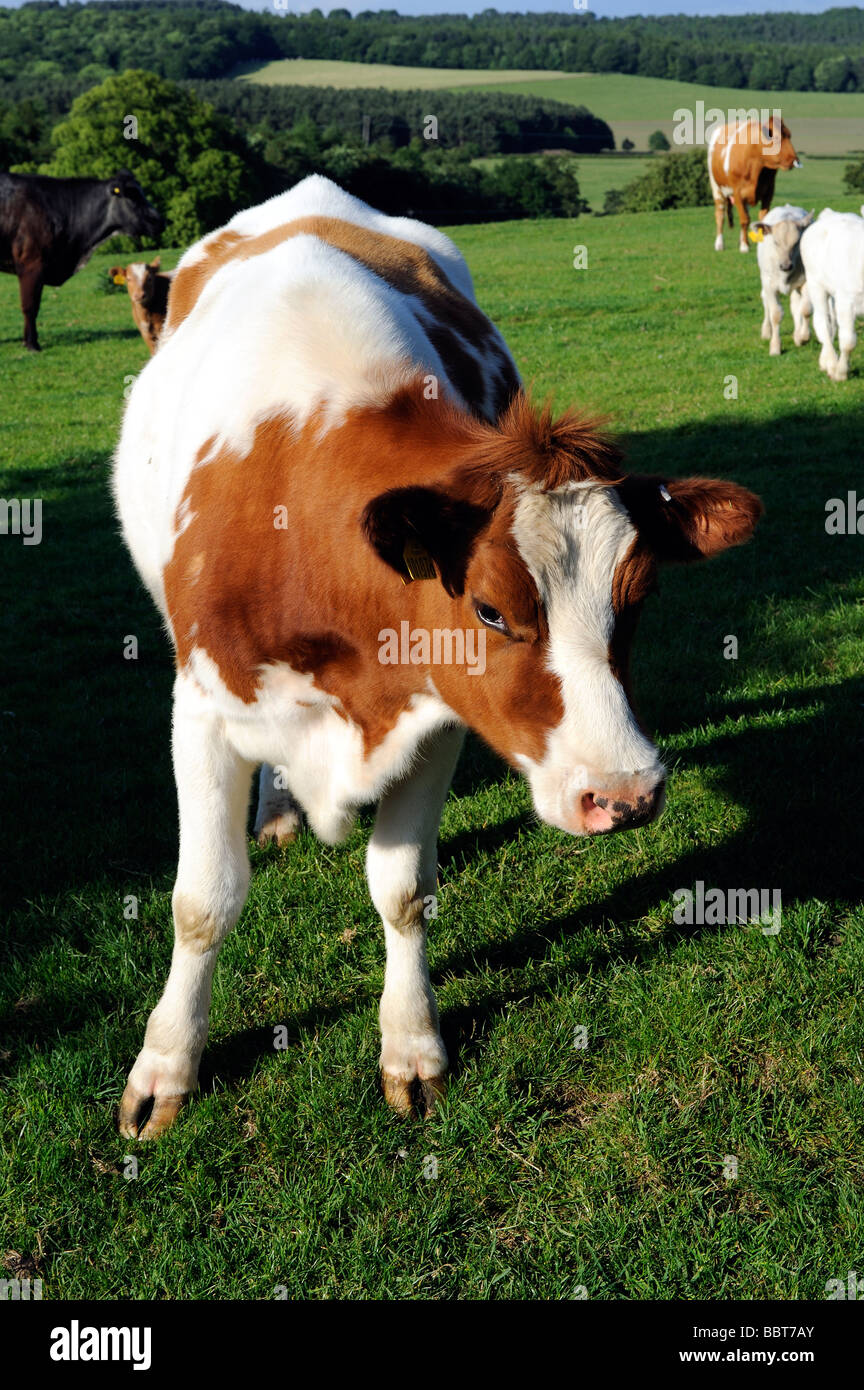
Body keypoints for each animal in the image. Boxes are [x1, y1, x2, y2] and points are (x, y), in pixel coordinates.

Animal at [112, 175, 761, 1138]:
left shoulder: (440, 713)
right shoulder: (199, 709)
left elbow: (404, 888)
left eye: (638, 598)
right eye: (489, 609)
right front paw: (166, 1065)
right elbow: (202, 903)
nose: (628, 794)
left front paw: (411, 1044)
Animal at [708, 116, 801, 253]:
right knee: (720, 215)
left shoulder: (769, 192)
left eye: (790, 136)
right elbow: (744, 220)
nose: (795, 160)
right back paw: (720, 244)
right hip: (717, 188)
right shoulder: (737, 193)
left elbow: (762, 218)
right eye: (776, 138)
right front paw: (744, 246)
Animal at [753, 204, 814, 356]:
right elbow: (775, 314)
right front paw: (775, 347)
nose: (786, 266)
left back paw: (797, 333)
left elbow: (805, 309)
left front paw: (803, 337)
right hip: (764, 279)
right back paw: (766, 331)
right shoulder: (770, 285)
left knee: (795, 305)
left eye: (797, 242)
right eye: (775, 242)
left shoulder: (805, 282)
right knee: (766, 303)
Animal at [800, 206, 864, 382]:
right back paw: (830, 362)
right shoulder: (847, 302)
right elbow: (848, 341)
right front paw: (840, 372)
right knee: (823, 323)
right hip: (816, 285)